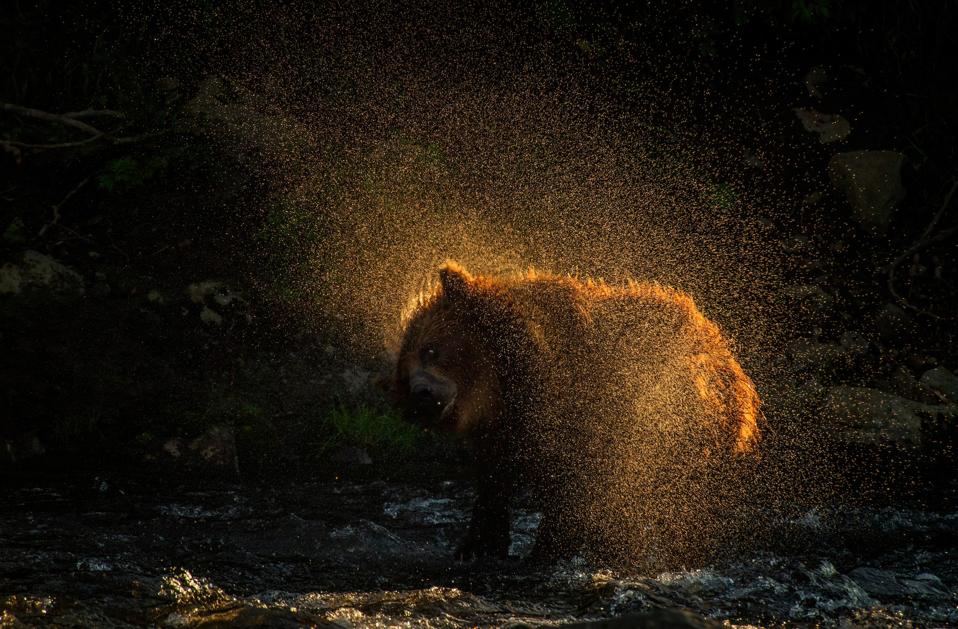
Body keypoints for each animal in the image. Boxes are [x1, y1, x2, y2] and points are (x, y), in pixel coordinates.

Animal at [394, 261, 762, 569]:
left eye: (431, 349)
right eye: (405, 375)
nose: (421, 395)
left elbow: (571, 493)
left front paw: (544, 553)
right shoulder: (504, 432)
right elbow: (493, 484)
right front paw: (475, 547)